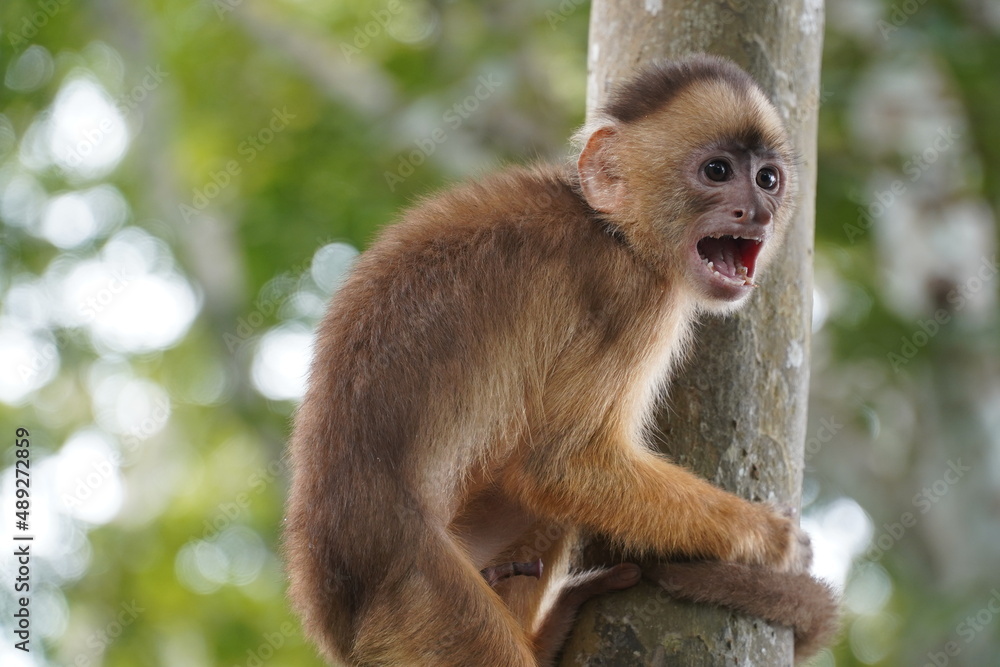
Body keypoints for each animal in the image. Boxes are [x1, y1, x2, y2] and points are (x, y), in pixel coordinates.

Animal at [283, 54, 839, 667]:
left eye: (768, 178)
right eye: (717, 171)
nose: (758, 211)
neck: (610, 229)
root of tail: (333, 616)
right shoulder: (630, 295)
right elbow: (558, 463)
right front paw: (764, 537)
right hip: (425, 606)